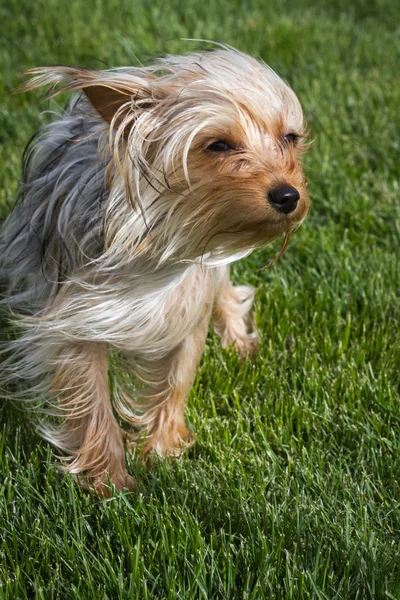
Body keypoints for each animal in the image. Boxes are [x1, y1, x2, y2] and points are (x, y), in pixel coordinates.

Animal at [0, 47, 310, 494]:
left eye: (290, 138)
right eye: (218, 145)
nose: (288, 195)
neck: (152, 245)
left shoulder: (189, 296)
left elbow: (178, 376)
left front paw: (161, 451)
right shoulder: (73, 315)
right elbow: (91, 399)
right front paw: (111, 481)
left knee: (226, 292)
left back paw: (239, 344)